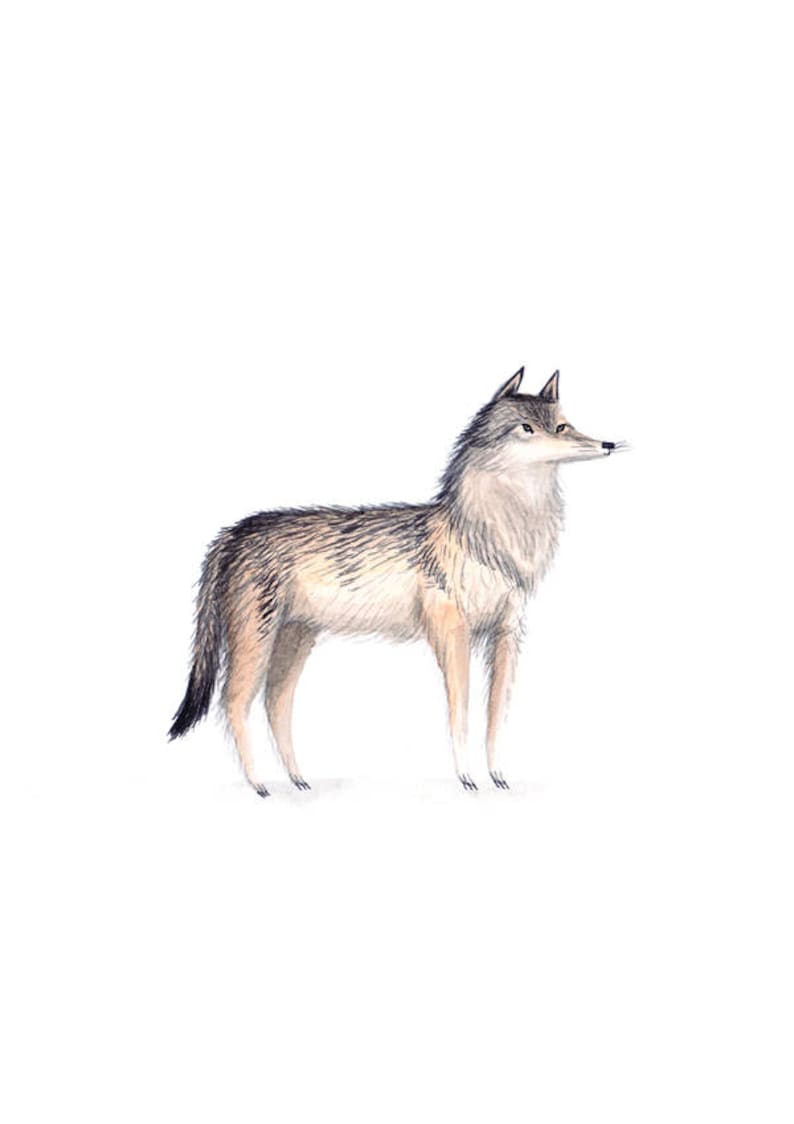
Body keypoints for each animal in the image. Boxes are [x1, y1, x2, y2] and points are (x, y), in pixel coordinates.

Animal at [169, 367, 626, 795]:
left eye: (562, 426)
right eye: (527, 429)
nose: (606, 445)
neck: (494, 534)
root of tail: (233, 532)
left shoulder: (506, 635)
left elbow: (497, 716)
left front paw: (498, 775)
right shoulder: (453, 634)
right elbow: (460, 713)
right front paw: (467, 777)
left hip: (293, 641)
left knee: (274, 705)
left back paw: (297, 780)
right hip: (256, 642)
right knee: (233, 704)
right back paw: (259, 785)